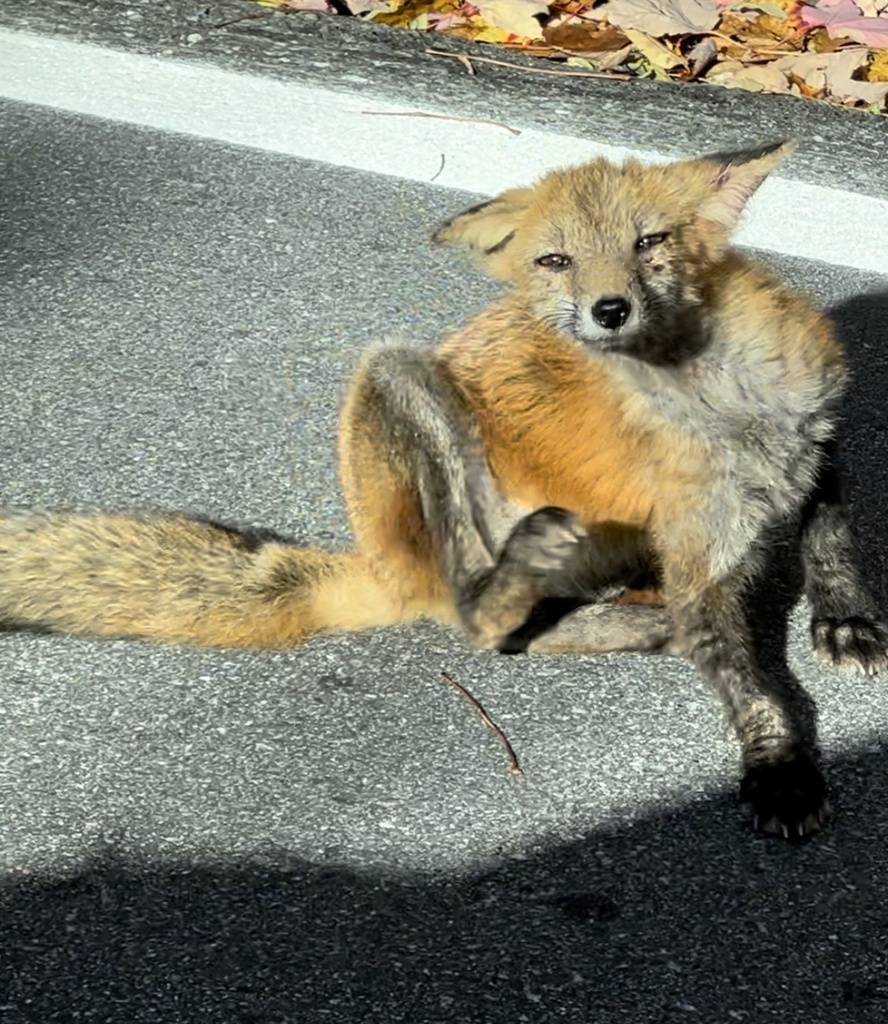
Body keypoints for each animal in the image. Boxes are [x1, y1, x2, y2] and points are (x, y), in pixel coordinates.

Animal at [0, 139, 884, 839]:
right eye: (555, 261)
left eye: (650, 242)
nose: (609, 309)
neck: (727, 408)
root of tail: (382, 562)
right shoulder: (699, 555)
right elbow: (749, 683)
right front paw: (780, 769)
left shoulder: (814, 436)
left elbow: (831, 528)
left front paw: (844, 616)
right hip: (400, 386)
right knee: (482, 621)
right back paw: (599, 602)